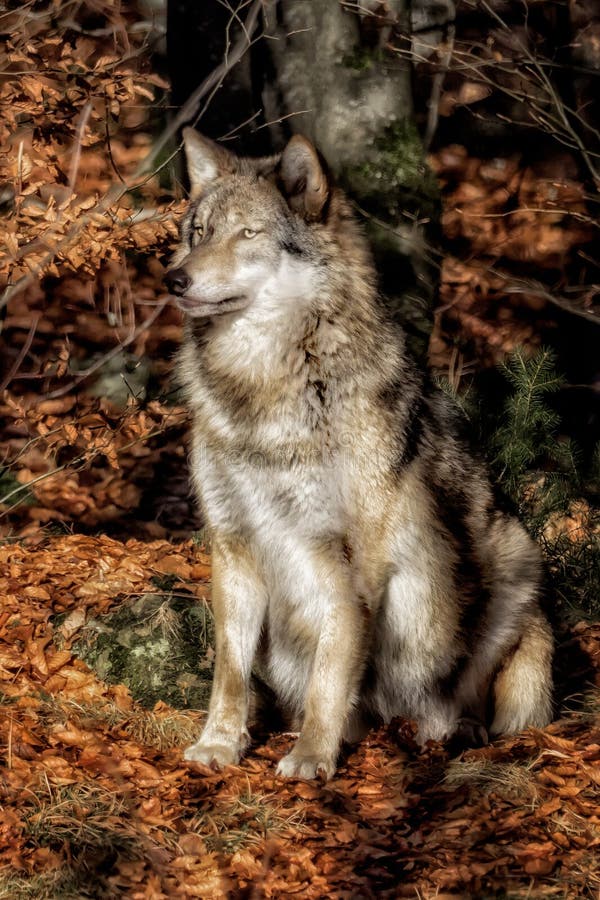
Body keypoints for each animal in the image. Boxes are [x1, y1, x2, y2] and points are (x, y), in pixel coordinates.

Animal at [164, 127, 553, 780]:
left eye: (248, 234)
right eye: (198, 232)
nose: (175, 281)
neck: (266, 391)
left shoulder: (353, 558)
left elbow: (332, 664)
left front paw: (311, 757)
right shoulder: (232, 543)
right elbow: (229, 670)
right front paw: (219, 744)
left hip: (510, 563)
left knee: (471, 694)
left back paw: (449, 730)